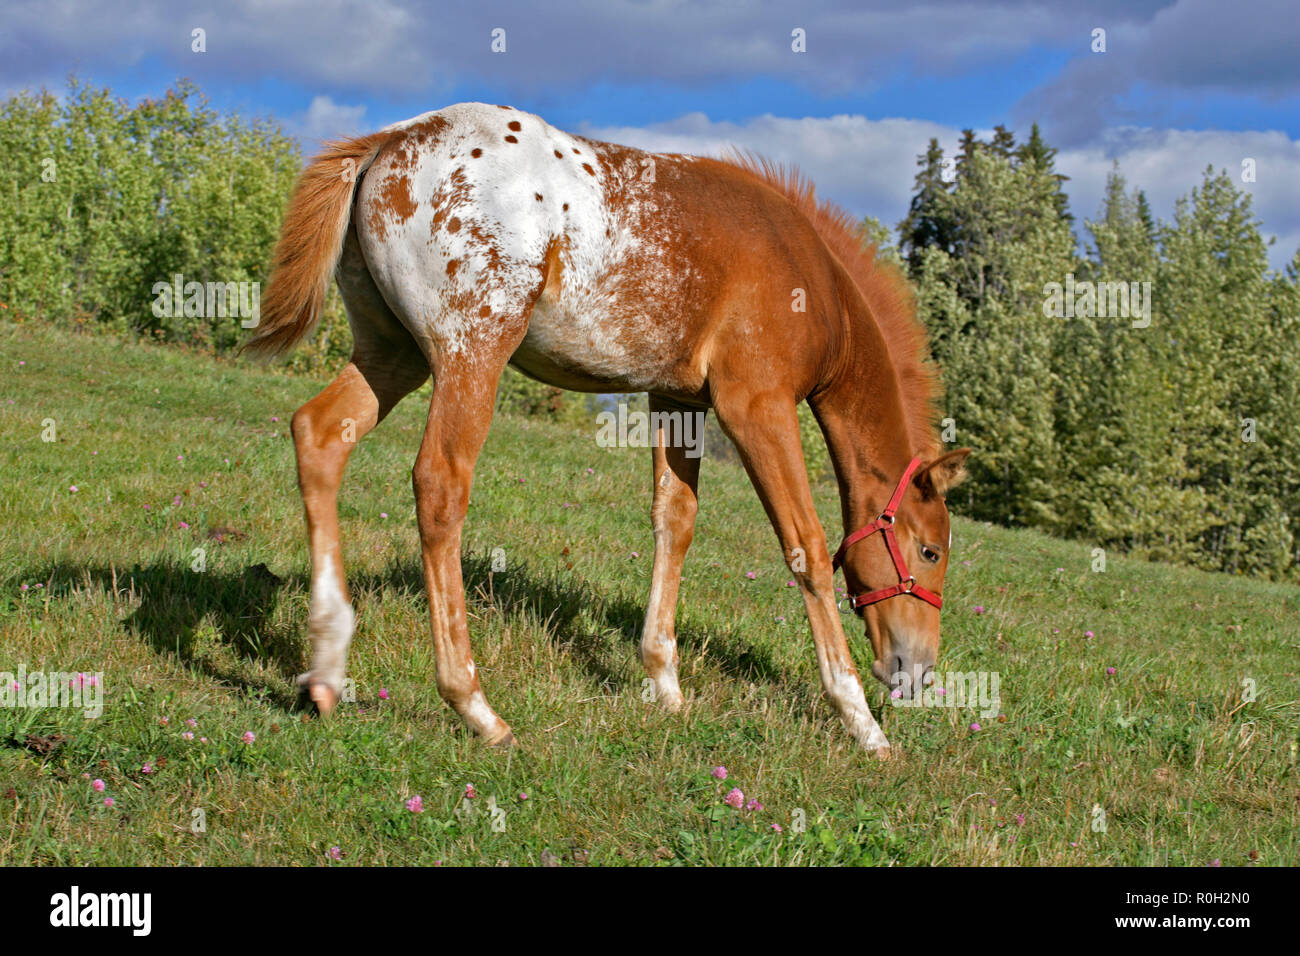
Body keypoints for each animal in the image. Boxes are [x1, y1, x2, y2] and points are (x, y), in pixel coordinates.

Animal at [246, 102, 970, 755]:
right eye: (930, 551)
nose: (917, 671)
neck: (811, 279)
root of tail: (389, 142)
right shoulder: (756, 406)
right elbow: (809, 550)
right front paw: (861, 721)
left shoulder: (677, 399)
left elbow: (674, 523)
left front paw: (666, 685)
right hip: (470, 352)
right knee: (440, 484)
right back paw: (475, 706)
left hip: (392, 354)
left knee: (319, 434)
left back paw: (326, 669)